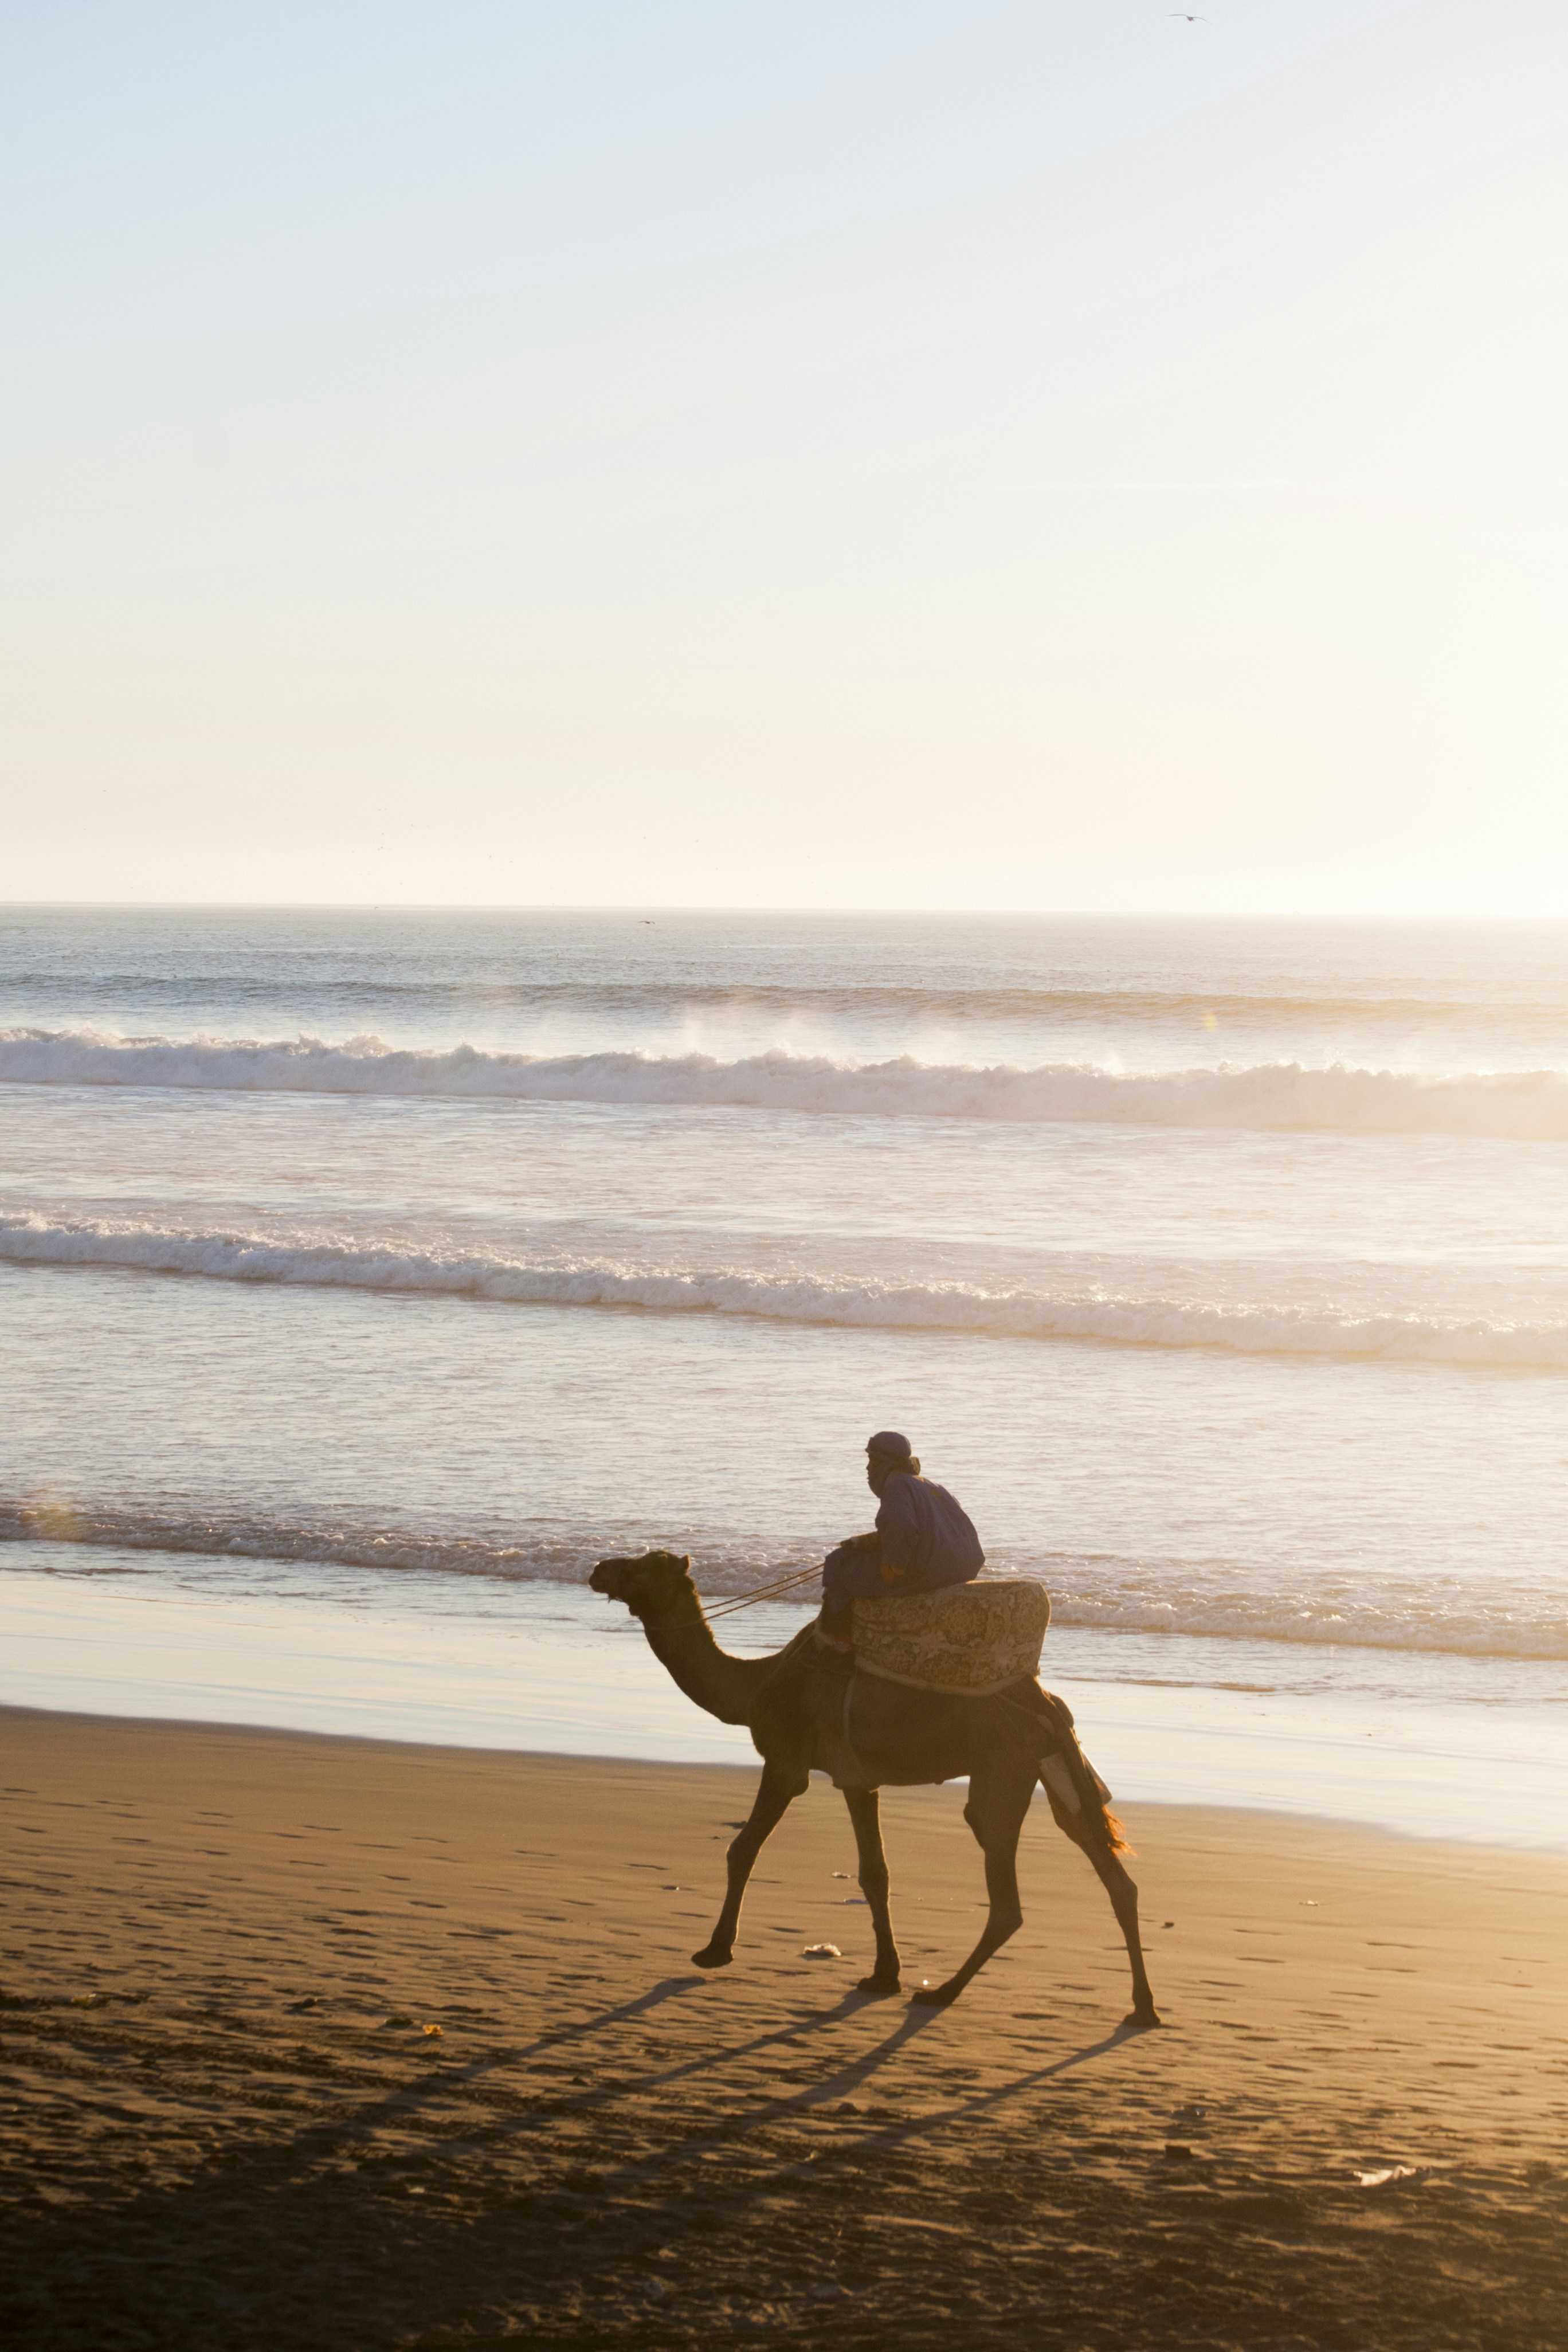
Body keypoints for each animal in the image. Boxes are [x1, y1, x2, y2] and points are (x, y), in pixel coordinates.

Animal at [589, 1551, 1160, 2027]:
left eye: (641, 1566)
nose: (598, 1569)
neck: (756, 1686)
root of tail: (1044, 1702)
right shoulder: (858, 1779)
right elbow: (875, 1873)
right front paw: (885, 1974)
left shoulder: (787, 1763)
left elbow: (743, 1849)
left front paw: (714, 1951)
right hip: (1053, 1769)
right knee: (1111, 1872)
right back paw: (1143, 2008)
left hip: (1004, 1771)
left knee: (1006, 1892)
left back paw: (943, 1992)